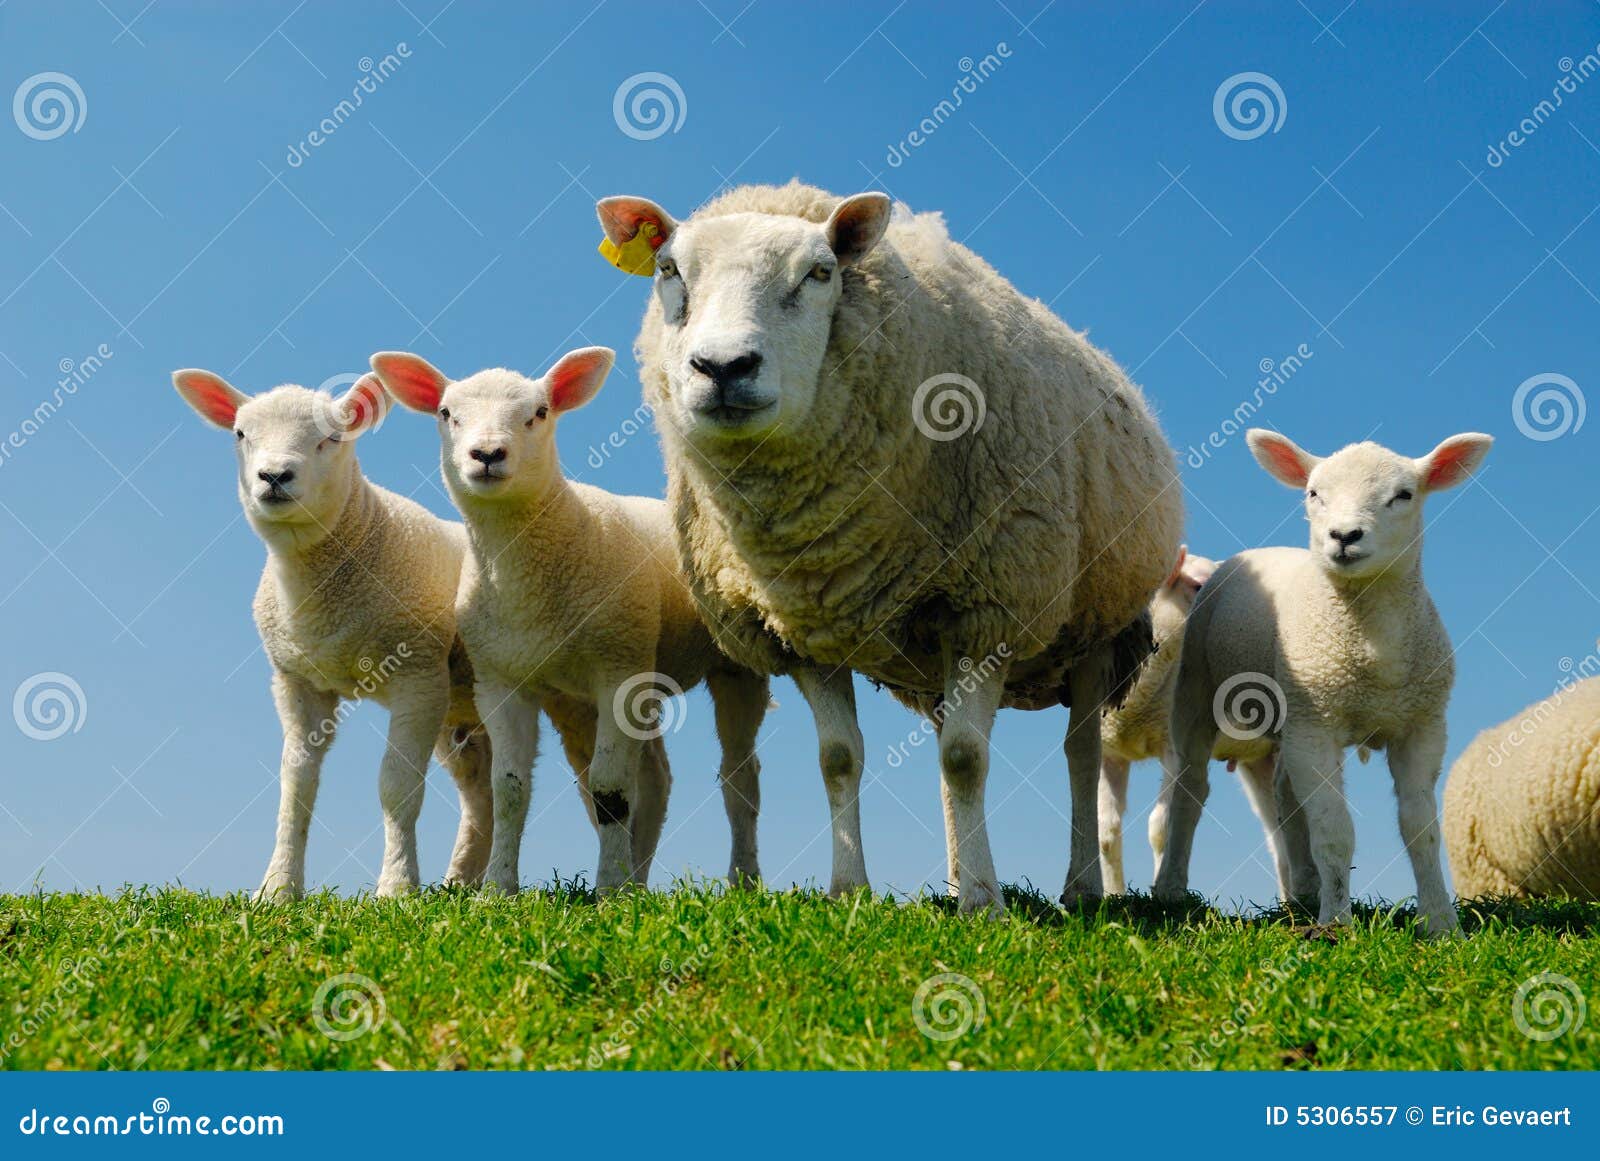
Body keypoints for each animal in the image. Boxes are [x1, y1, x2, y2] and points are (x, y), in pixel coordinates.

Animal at [172, 369, 495, 898]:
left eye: (331, 438)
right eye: (241, 434)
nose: (274, 477)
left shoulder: (418, 672)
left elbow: (396, 785)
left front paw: (396, 888)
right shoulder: (297, 682)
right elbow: (296, 785)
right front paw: (277, 890)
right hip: (461, 711)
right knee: (482, 785)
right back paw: (463, 881)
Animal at [370, 346, 771, 895]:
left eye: (539, 413)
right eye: (447, 414)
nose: (487, 454)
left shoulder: (618, 668)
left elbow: (610, 788)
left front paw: (608, 889)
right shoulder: (501, 681)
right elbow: (509, 789)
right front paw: (497, 890)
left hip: (731, 667)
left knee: (739, 776)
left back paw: (739, 879)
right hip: (598, 692)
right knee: (655, 779)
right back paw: (637, 878)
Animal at [596, 181, 1184, 915]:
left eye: (820, 272)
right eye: (668, 270)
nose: (724, 368)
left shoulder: (989, 607)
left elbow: (966, 757)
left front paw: (984, 902)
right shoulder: (803, 628)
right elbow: (841, 759)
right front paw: (850, 888)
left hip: (1093, 627)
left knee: (1079, 753)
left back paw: (1078, 889)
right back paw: (959, 873)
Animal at [1151, 428, 1493, 936]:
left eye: (1403, 495)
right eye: (1314, 494)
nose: (1344, 536)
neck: (1373, 651)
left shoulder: (1422, 726)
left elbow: (1421, 830)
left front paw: (1441, 923)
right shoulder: (1317, 726)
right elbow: (1334, 831)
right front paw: (1337, 924)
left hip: (1289, 716)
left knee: (1285, 800)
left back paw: (1304, 892)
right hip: (1198, 689)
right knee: (1190, 791)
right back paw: (1171, 888)